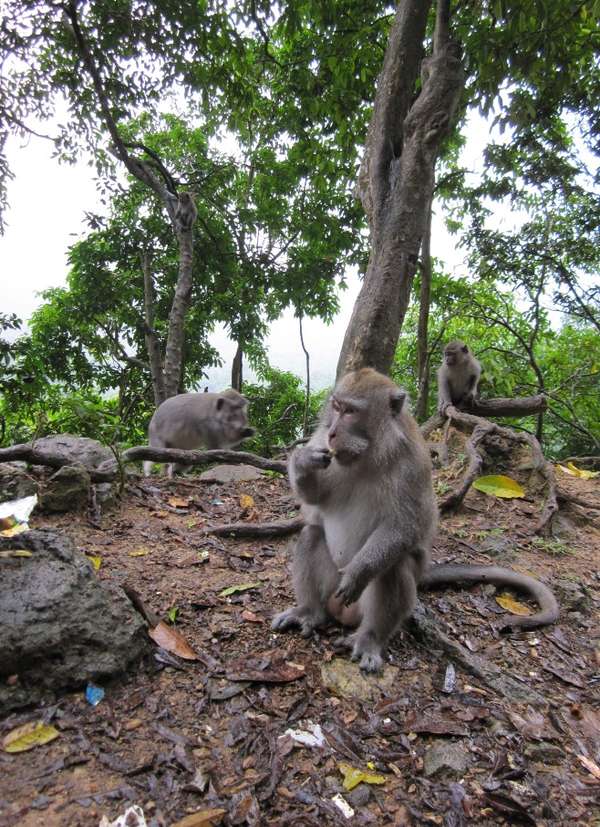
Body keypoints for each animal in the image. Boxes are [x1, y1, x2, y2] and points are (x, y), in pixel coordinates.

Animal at [272, 369, 558, 672]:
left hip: (360, 605)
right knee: (311, 535)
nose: (333, 432)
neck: (368, 453)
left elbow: (405, 526)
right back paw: (309, 612)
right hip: (332, 595)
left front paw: (359, 572)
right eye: (336, 407)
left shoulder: (413, 464)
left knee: (393, 565)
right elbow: (316, 497)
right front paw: (303, 460)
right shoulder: (323, 446)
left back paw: (370, 638)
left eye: (350, 411)